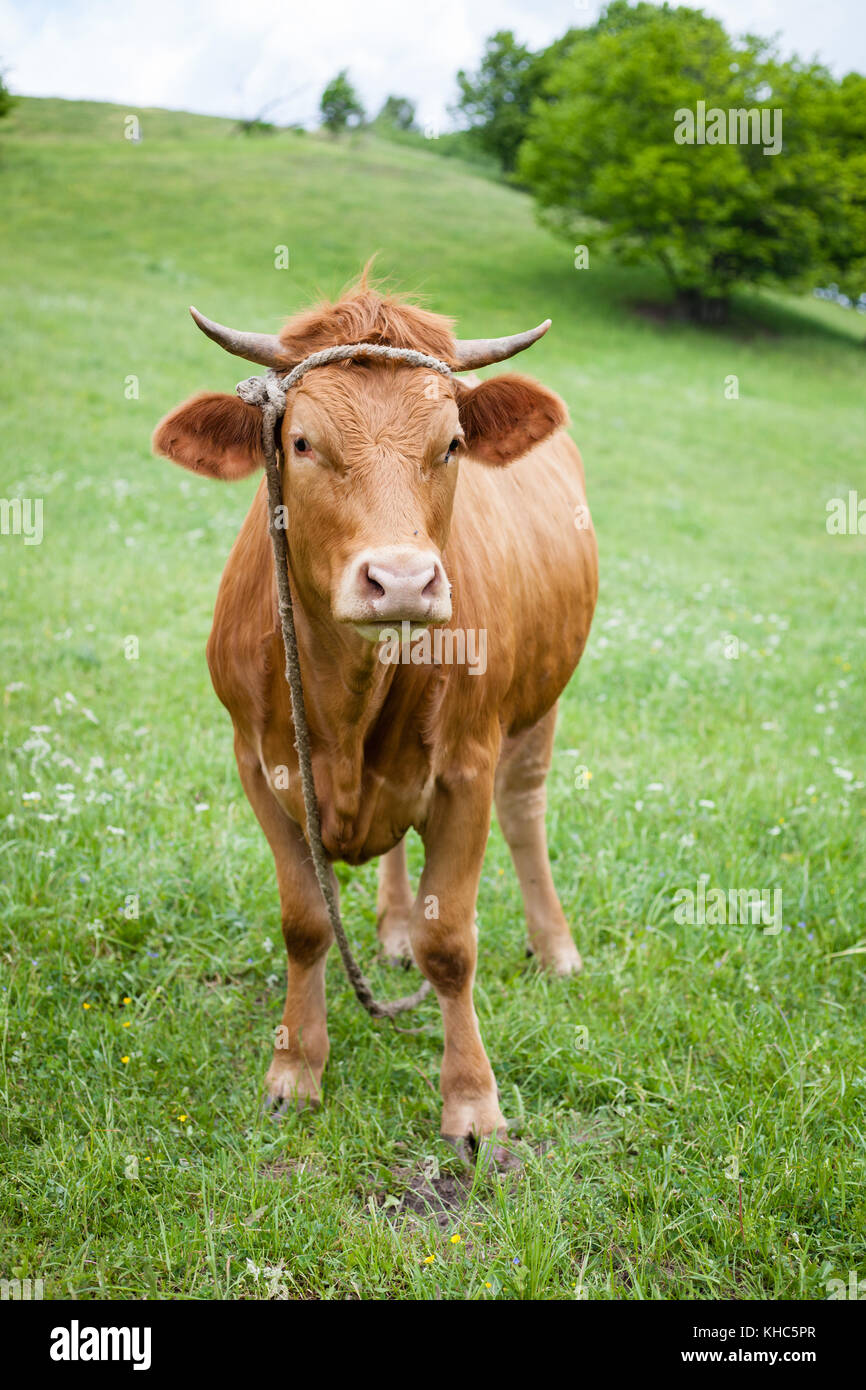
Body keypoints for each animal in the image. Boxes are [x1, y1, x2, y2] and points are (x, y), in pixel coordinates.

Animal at [152, 272, 598, 1151]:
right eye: (301, 443)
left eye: (452, 444)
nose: (401, 580)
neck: (349, 701)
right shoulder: (258, 764)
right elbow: (305, 922)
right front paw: (295, 1070)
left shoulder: (465, 769)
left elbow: (451, 944)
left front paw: (473, 1104)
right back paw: (390, 930)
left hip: (542, 704)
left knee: (525, 813)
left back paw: (554, 947)